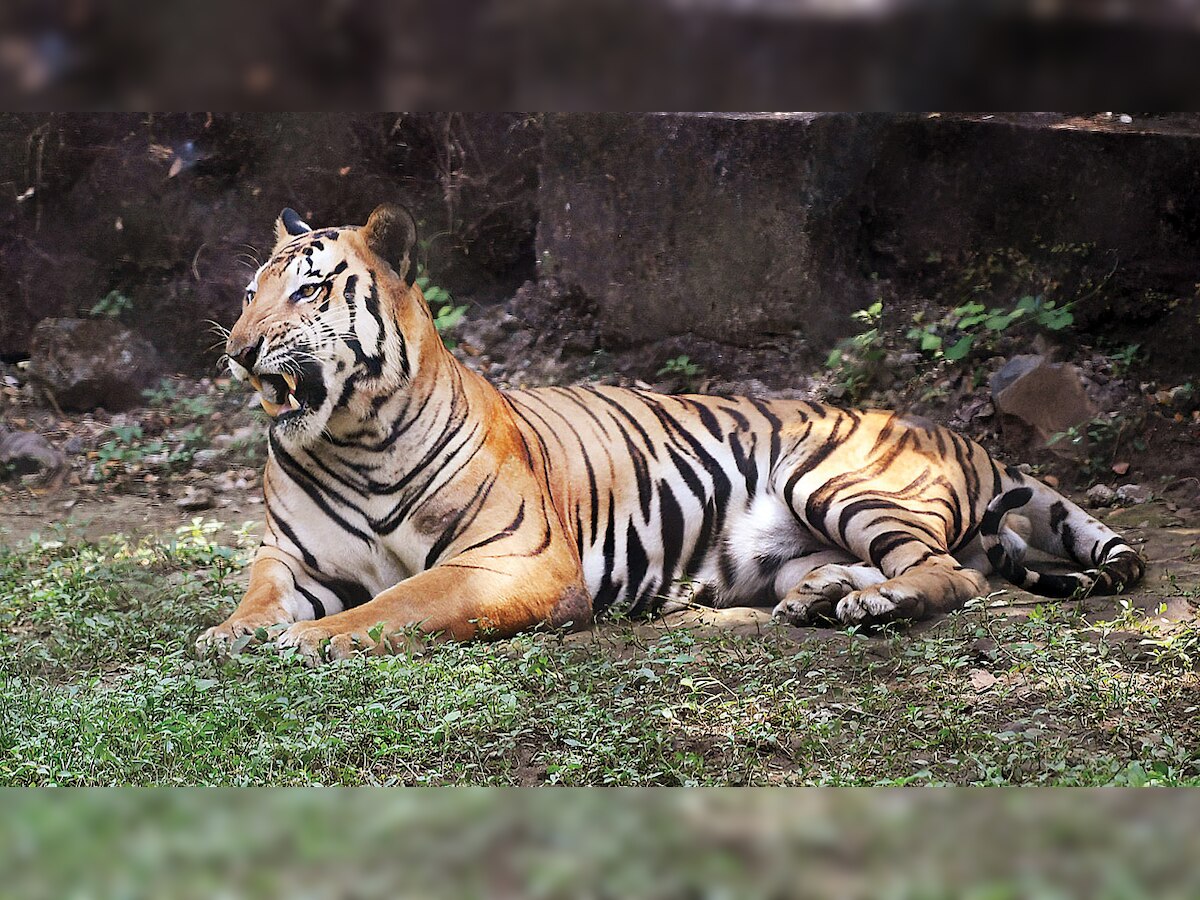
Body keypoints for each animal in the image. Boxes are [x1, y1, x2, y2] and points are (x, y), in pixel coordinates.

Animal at [196, 203, 1146, 663]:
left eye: (308, 290)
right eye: (249, 292)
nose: (239, 350)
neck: (350, 434)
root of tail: (961, 437)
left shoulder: (512, 561)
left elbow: (402, 602)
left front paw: (313, 640)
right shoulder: (291, 556)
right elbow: (256, 593)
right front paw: (229, 635)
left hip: (837, 481)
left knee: (953, 573)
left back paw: (873, 605)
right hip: (797, 542)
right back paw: (820, 600)